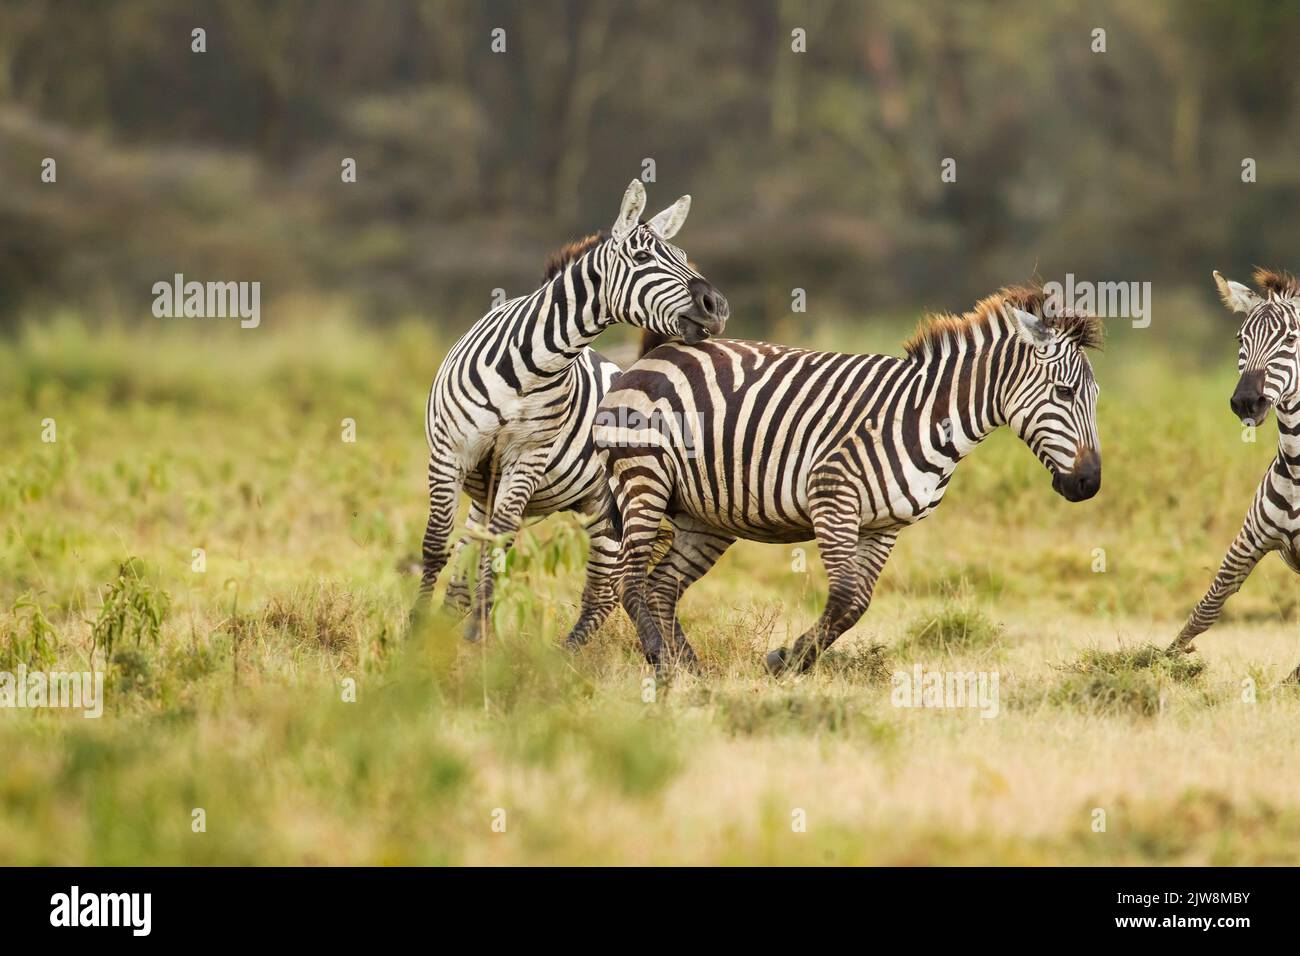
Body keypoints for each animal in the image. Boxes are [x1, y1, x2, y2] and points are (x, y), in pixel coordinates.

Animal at [413, 180, 729, 642]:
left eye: (684, 256)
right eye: (642, 258)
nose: (717, 306)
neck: (530, 366)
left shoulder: (526, 460)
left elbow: (498, 547)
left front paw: (479, 636)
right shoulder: (451, 452)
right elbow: (439, 545)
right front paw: (415, 634)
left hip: (611, 502)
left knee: (603, 591)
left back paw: (562, 654)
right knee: (468, 561)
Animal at [578, 285, 1103, 673]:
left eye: (1095, 397)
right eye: (1064, 392)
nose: (1089, 485)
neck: (927, 417)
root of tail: (659, 352)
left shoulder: (885, 526)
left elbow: (858, 604)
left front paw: (787, 659)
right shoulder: (833, 497)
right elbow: (848, 596)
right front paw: (785, 661)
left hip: (704, 516)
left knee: (661, 585)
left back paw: (693, 672)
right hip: (643, 477)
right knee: (630, 581)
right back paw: (662, 665)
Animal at [1168, 269, 1300, 682]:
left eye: (1291, 340)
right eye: (1240, 340)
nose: (1246, 402)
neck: (1297, 469)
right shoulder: (1246, 541)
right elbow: (1206, 608)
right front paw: (1154, 662)